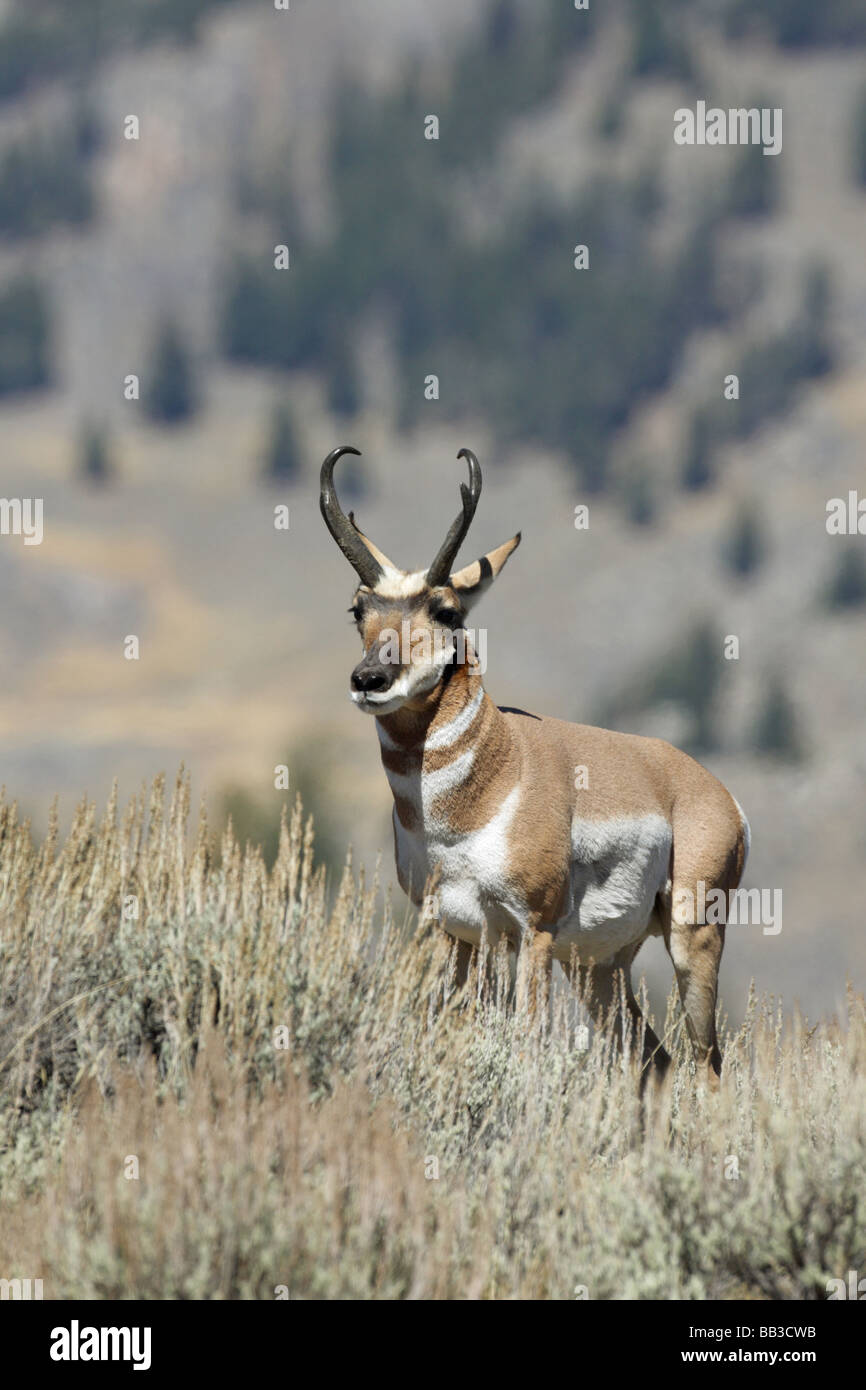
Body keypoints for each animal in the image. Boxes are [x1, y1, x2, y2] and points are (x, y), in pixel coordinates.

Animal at [320, 445, 750, 1088]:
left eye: (446, 611)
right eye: (357, 609)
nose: (370, 678)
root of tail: (714, 790)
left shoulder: (534, 931)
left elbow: (523, 1046)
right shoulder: (453, 931)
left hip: (690, 939)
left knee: (710, 1066)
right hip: (598, 967)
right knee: (655, 1060)